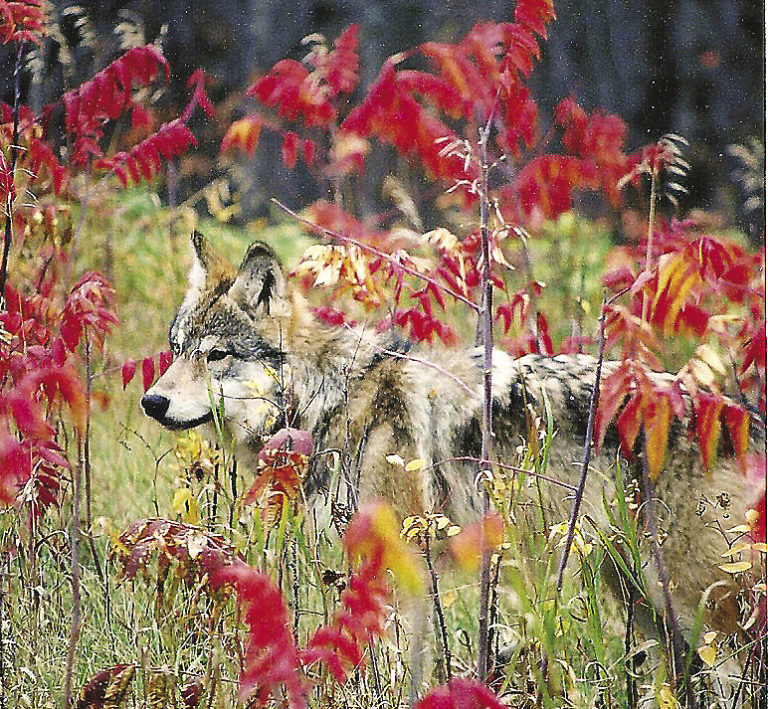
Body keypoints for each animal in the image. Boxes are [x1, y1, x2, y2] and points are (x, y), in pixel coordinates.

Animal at [142, 232, 762, 663]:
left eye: (216, 355)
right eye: (177, 348)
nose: (151, 401)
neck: (327, 402)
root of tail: (737, 410)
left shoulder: (398, 575)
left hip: (696, 603)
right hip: (646, 603)